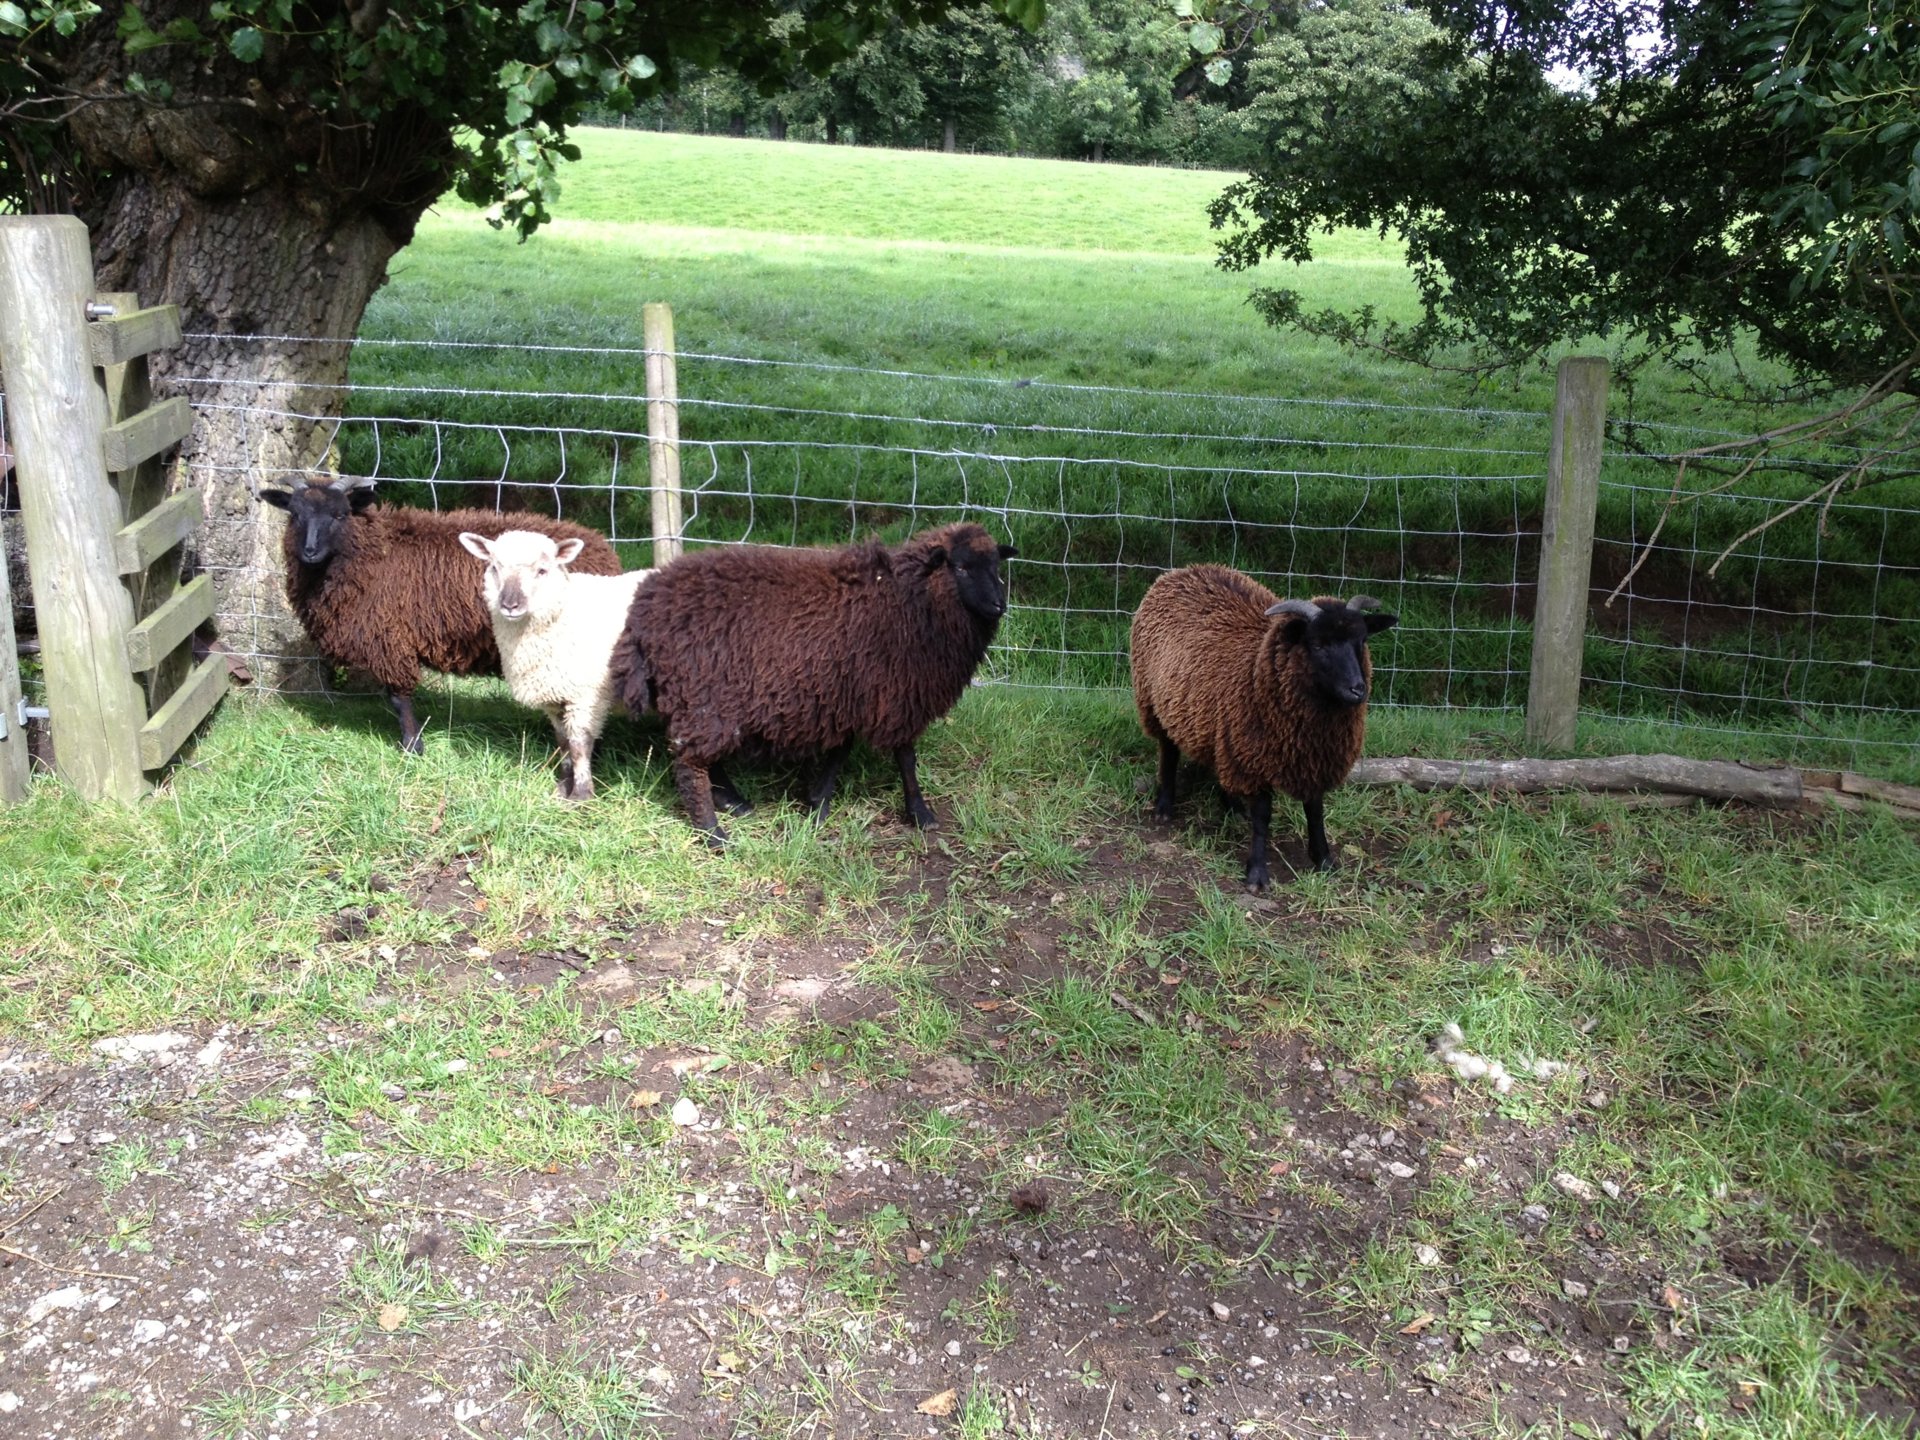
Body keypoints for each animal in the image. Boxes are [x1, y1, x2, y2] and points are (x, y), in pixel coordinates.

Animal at [258, 477, 620, 753]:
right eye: (295, 515)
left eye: (340, 514)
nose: (310, 551)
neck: (371, 552)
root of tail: (605, 552)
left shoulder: (390, 638)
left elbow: (399, 698)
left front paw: (412, 746)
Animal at [456, 529, 653, 801]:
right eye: (495, 567)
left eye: (542, 570)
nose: (510, 605)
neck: (565, 612)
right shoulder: (555, 695)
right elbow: (563, 742)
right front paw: (562, 786)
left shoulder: (586, 696)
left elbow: (579, 745)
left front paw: (581, 796)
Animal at [611, 521, 1017, 845]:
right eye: (960, 567)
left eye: (997, 567)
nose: (999, 605)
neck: (911, 599)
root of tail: (644, 609)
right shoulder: (894, 693)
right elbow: (904, 757)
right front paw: (919, 812)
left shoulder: (850, 692)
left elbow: (842, 750)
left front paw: (818, 801)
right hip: (704, 696)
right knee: (689, 766)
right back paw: (713, 833)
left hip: (701, 700)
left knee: (701, 757)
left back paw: (732, 802)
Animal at [1129, 565, 1397, 889]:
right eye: (1317, 644)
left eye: (1362, 641)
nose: (1357, 690)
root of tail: (1181, 572)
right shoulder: (1255, 757)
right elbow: (1262, 816)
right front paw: (1257, 873)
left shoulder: (1313, 758)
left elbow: (1315, 810)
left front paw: (1324, 860)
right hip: (1157, 702)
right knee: (1168, 752)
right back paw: (1165, 808)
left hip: (1215, 724)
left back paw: (1231, 807)